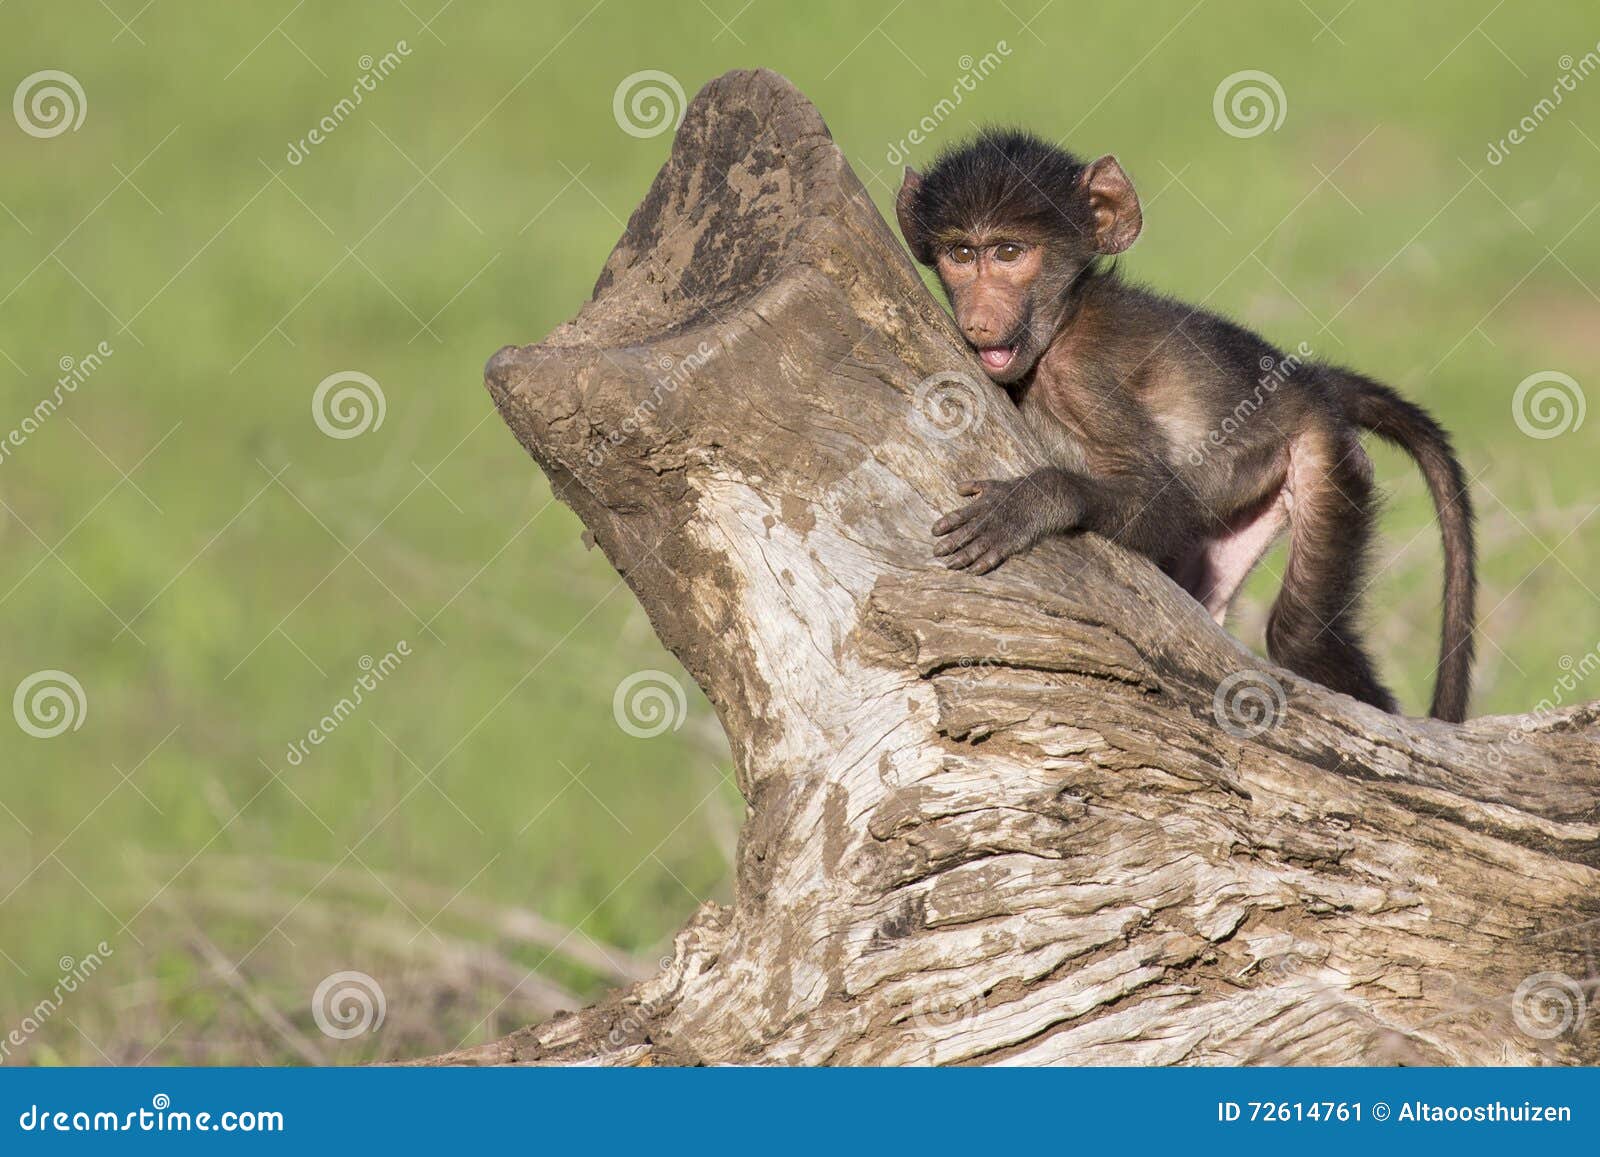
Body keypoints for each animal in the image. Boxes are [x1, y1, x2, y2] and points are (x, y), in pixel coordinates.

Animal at [896, 128, 1476, 721]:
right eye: (961, 254)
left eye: (1009, 252)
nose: (977, 321)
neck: (1063, 323)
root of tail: (1310, 383)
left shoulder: (1087, 380)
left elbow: (1164, 506)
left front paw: (1029, 503)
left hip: (1327, 456)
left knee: (1301, 637)